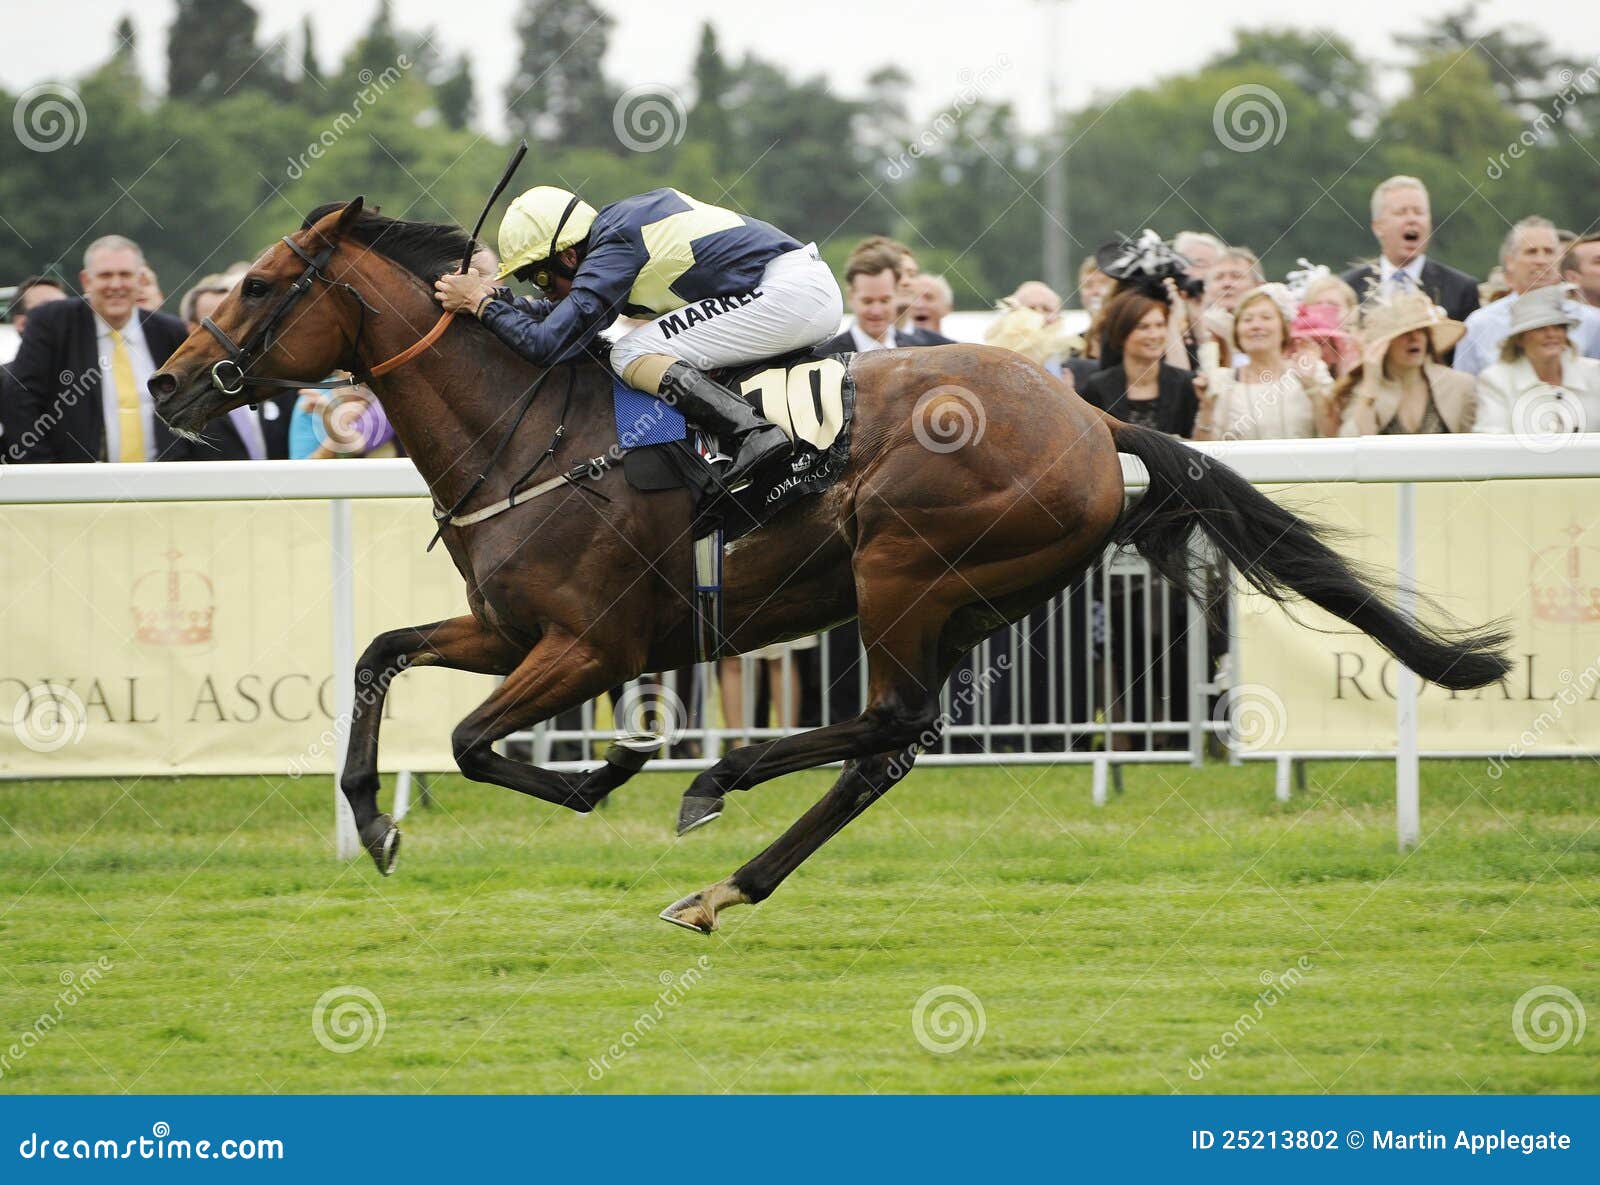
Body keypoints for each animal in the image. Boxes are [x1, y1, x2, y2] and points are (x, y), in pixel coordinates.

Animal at [149, 198, 1511, 934]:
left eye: (260, 286)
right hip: (966, 598)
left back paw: (720, 781)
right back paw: (725, 882)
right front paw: (374, 816)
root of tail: (1091, 418)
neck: (529, 427)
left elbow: (475, 742)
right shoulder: (508, 628)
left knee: (886, 724)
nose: (166, 383)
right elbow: (379, 659)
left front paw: (619, 767)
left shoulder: (590, 643)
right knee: (887, 747)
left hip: (905, 571)